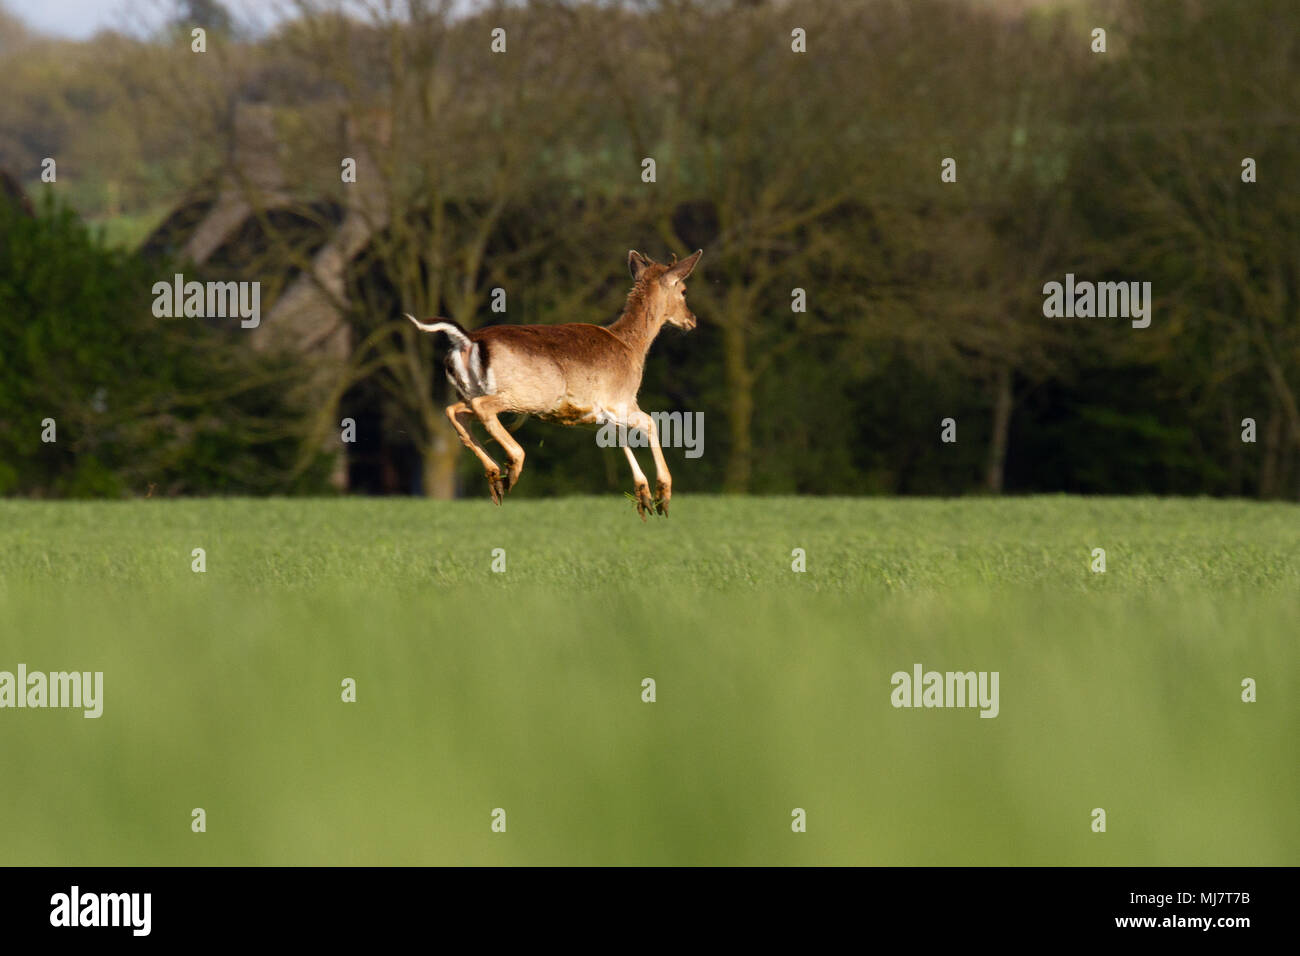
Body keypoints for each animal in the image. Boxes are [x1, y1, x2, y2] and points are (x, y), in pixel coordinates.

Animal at [405, 248, 703, 519]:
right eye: (684, 290)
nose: (692, 320)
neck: (632, 349)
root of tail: (467, 340)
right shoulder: (618, 401)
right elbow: (651, 424)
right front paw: (663, 496)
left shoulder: (607, 413)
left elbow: (621, 440)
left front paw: (644, 497)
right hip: (526, 394)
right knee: (482, 408)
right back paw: (512, 467)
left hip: (468, 392)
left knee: (454, 412)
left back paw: (495, 478)